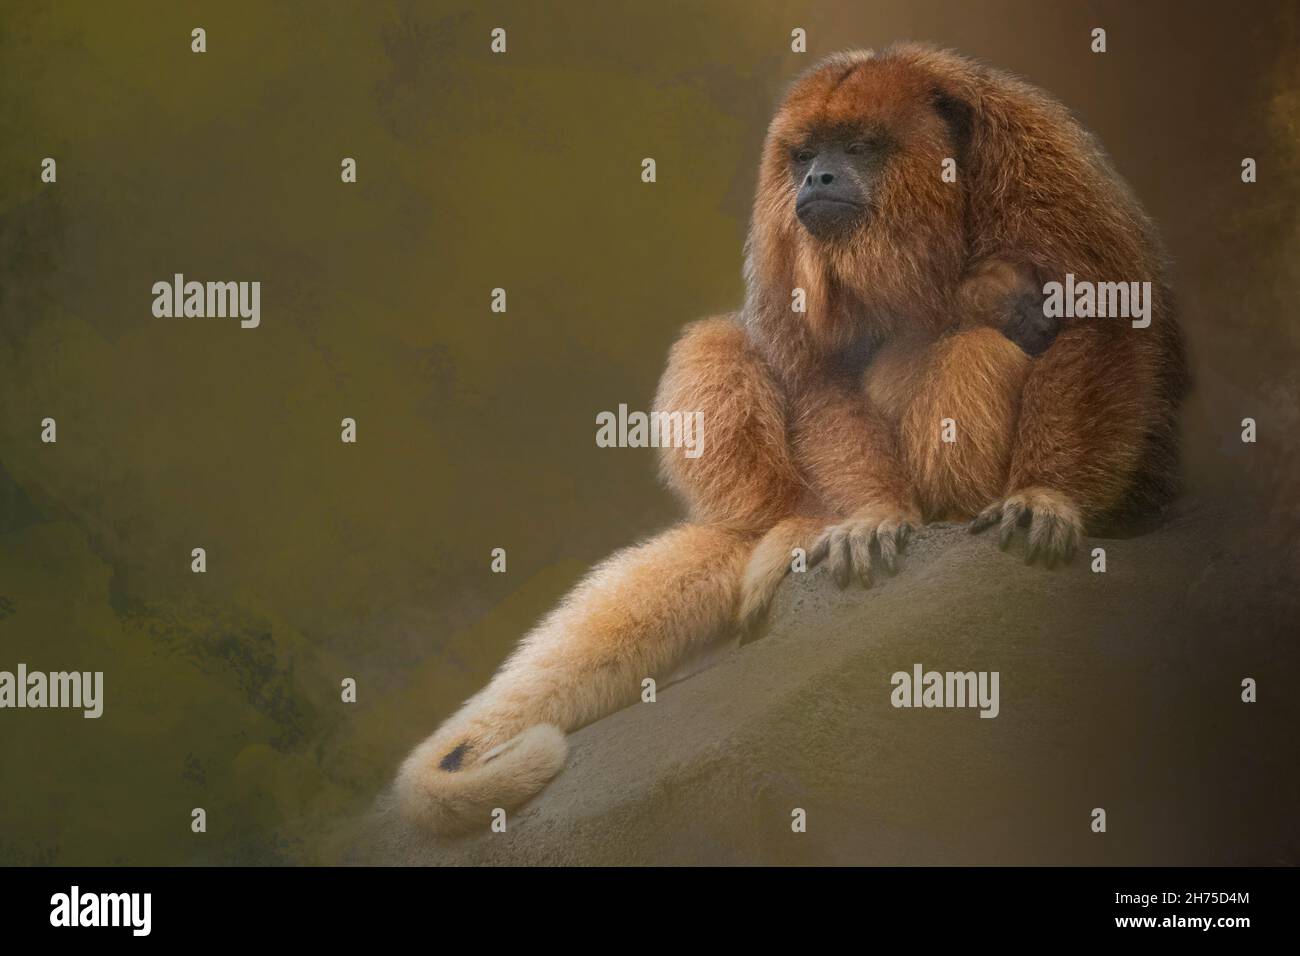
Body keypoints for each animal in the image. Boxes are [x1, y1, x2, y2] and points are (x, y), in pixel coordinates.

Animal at [393, 44, 1187, 835]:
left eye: (858, 148)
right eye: (807, 153)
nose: (818, 178)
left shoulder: (1038, 158)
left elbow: (1106, 322)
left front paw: (1044, 495)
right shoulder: (780, 217)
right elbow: (810, 373)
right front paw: (870, 517)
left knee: (973, 345)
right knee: (722, 341)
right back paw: (795, 528)